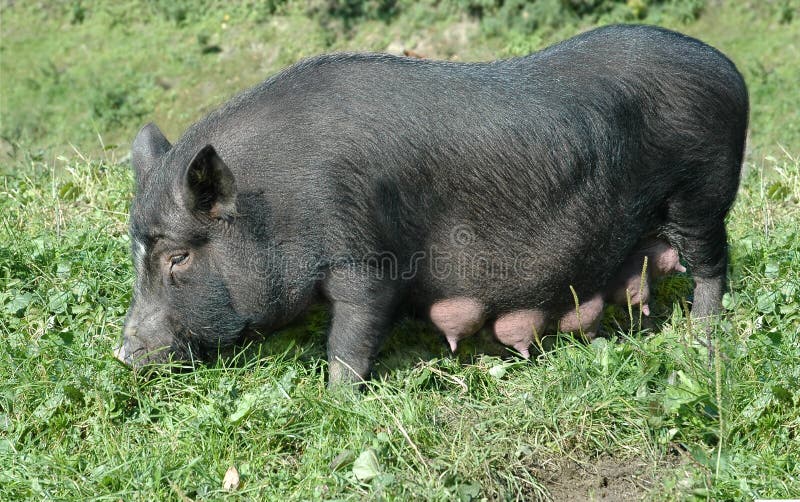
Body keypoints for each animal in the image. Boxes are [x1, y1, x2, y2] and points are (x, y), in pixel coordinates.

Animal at [116, 24, 748, 385]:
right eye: (136, 252)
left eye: (178, 257)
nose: (124, 353)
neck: (276, 203)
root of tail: (727, 67)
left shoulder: (368, 259)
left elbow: (350, 337)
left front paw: (338, 399)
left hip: (702, 197)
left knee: (713, 265)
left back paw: (703, 337)